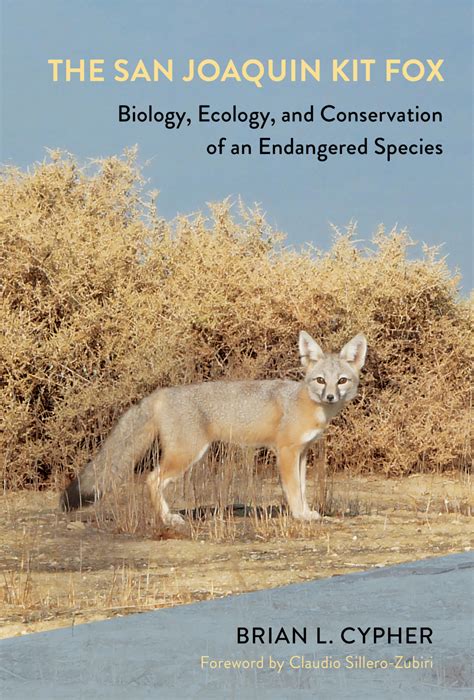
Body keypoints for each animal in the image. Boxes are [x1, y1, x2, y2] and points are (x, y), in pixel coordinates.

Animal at [60, 332, 367, 527]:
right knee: (151, 479)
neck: (306, 403)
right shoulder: (286, 452)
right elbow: (292, 490)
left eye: (341, 380)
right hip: (187, 455)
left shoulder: (301, 453)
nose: (330, 396)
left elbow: (302, 488)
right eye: (320, 380)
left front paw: (307, 512)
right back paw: (168, 518)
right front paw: (299, 516)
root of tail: (162, 393)